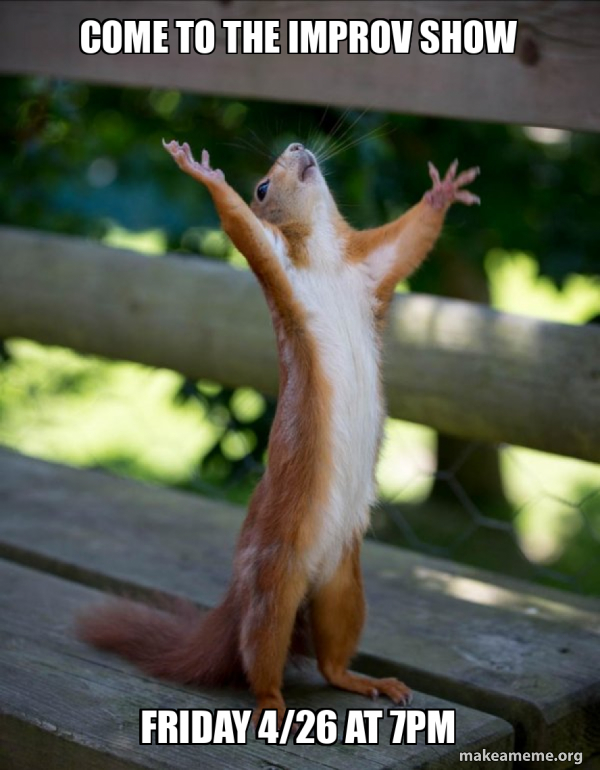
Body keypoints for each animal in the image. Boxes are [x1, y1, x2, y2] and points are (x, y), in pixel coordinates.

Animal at [78, 138, 479, 726]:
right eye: (262, 187)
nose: (296, 146)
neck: (327, 257)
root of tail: (239, 596)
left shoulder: (371, 267)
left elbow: (410, 240)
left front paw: (443, 192)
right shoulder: (277, 265)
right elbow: (240, 225)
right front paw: (204, 173)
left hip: (343, 587)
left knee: (331, 661)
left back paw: (367, 680)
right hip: (273, 585)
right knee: (259, 656)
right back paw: (271, 702)